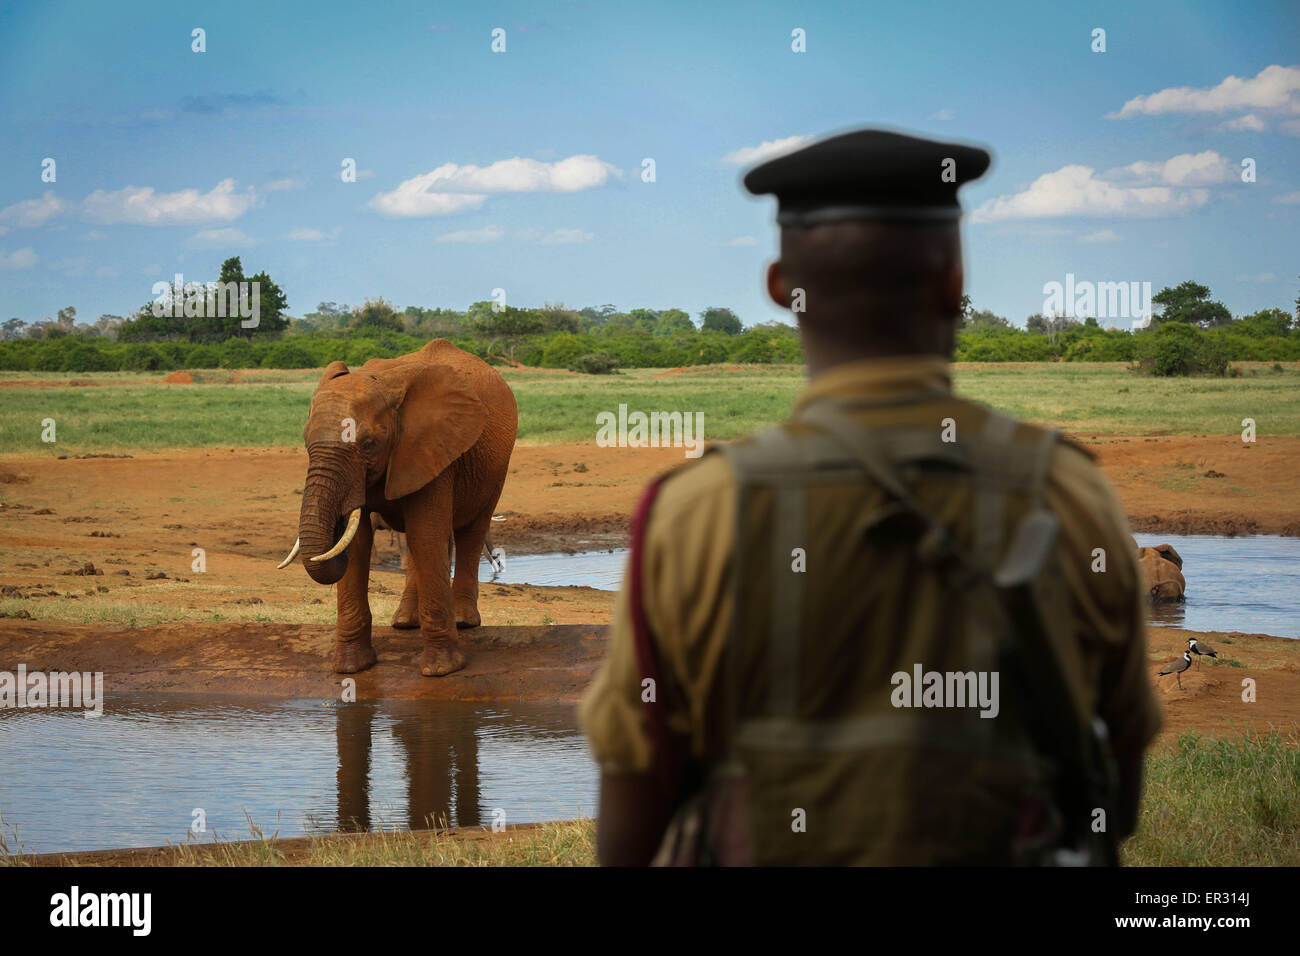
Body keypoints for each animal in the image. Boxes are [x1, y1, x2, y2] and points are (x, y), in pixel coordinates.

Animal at [277, 339, 517, 677]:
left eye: (368, 444)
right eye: (306, 442)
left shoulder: (433, 448)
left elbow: (427, 534)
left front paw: (440, 671)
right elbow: (359, 542)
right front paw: (352, 669)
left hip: (495, 469)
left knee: (468, 532)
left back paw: (463, 621)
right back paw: (404, 623)